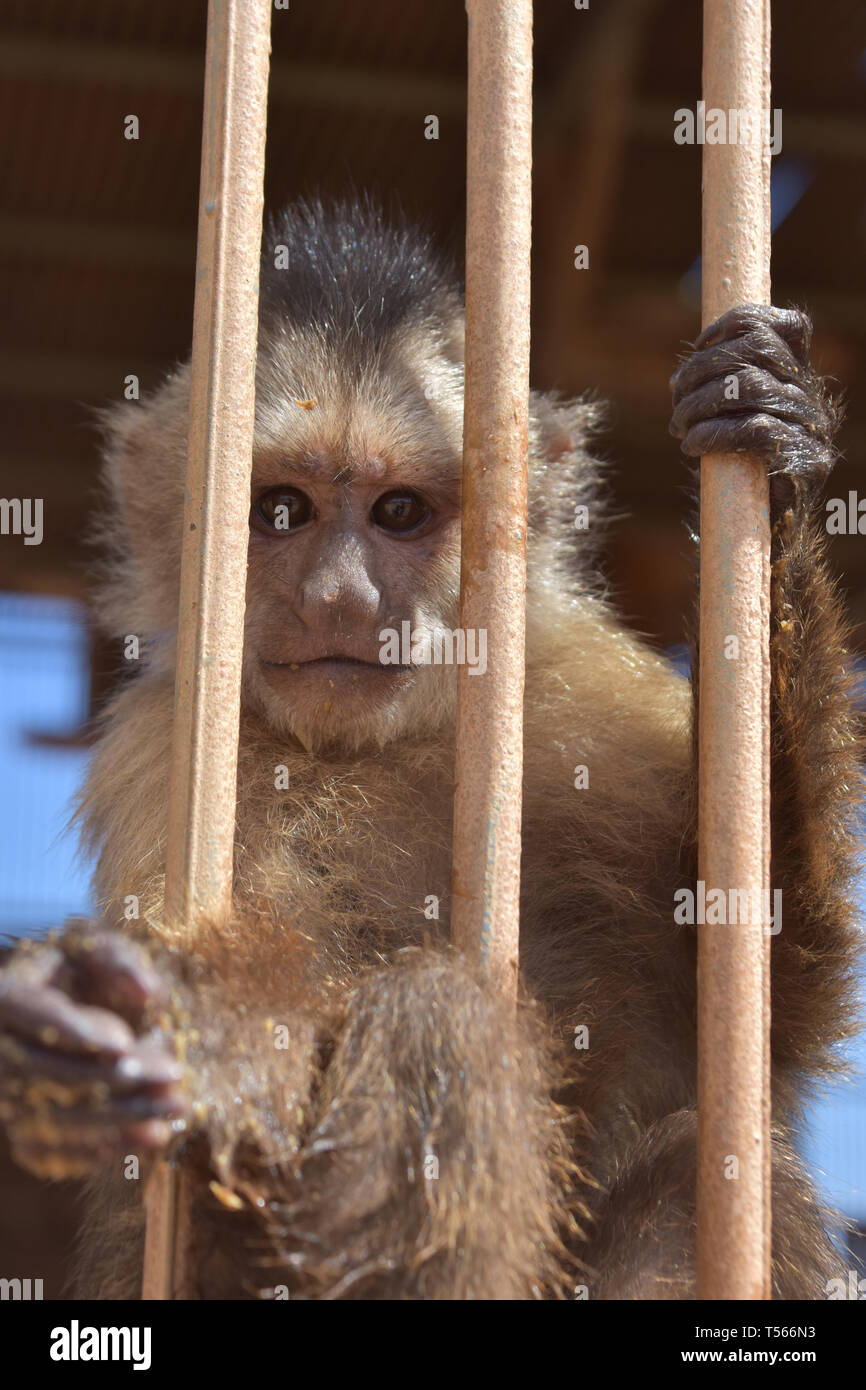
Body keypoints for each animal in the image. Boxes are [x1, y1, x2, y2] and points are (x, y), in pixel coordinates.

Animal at [0, 198, 860, 1300]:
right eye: (279, 510)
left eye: (398, 511)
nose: (340, 599)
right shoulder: (158, 749)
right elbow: (279, 1007)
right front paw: (158, 1021)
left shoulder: (588, 693)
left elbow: (772, 991)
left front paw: (779, 445)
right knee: (441, 1010)